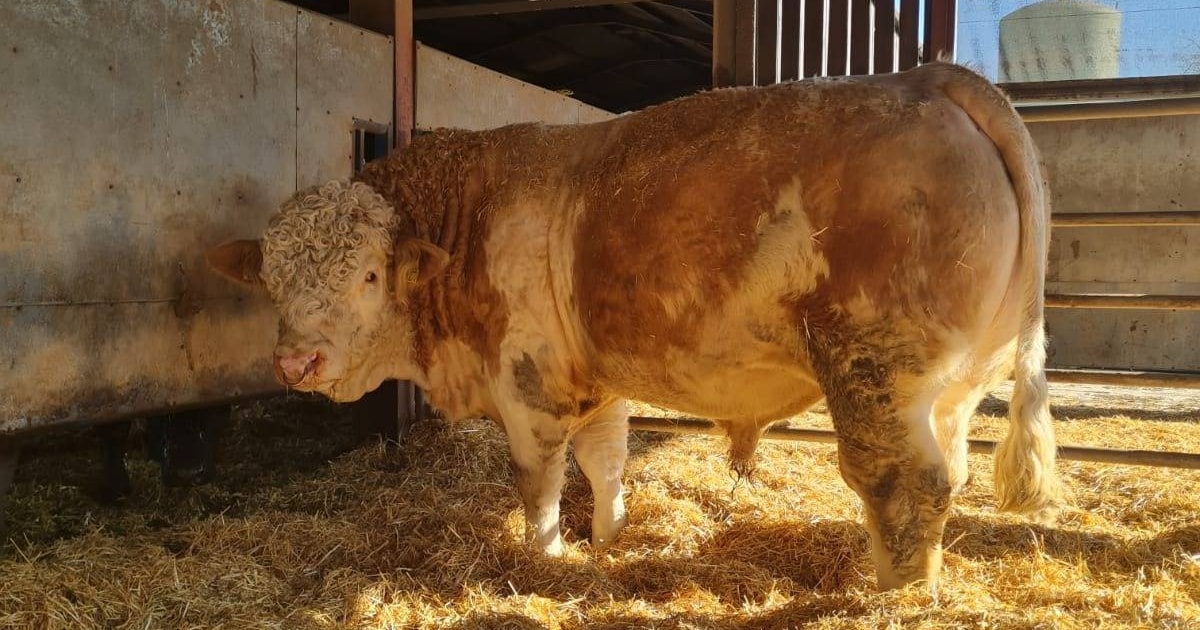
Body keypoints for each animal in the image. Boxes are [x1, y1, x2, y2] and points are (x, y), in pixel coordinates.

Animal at [207, 62, 1061, 594]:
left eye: (368, 276)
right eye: (273, 279)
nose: (296, 362)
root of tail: (931, 78)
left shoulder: (528, 387)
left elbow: (539, 483)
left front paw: (546, 557)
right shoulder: (595, 378)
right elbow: (607, 462)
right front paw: (607, 543)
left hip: (876, 372)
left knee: (900, 481)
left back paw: (894, 596)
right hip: (956, 386)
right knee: (947, 474)